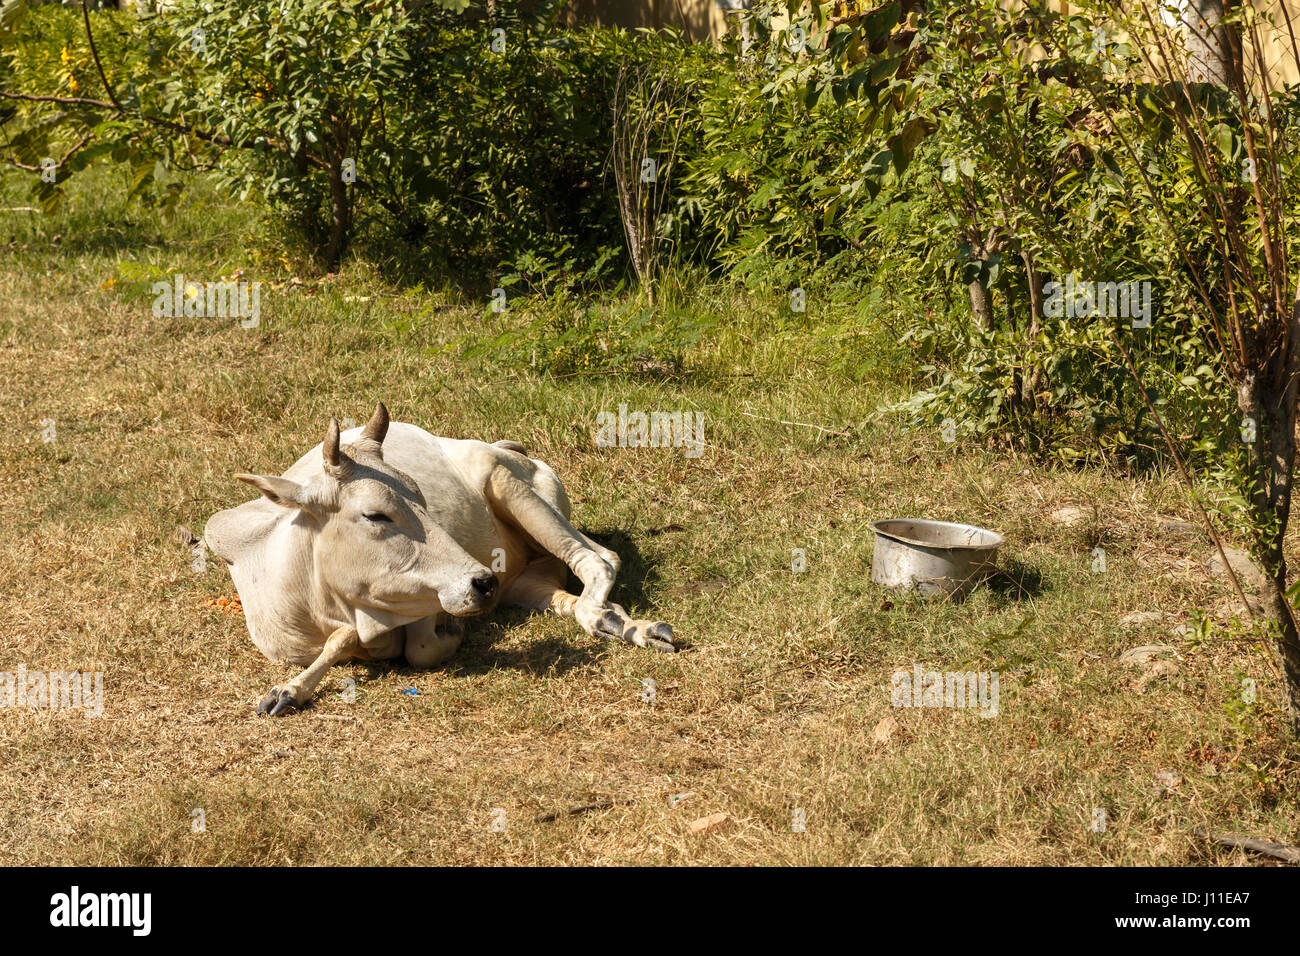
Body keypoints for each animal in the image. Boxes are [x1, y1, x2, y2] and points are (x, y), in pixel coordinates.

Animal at [202, 403, 675, 716]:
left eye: (422, 497)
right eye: (375, 514)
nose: (482, 583)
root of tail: (510, 448)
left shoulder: (424, 598)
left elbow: (420, 648)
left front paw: (450, 631)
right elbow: (340, 644)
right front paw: (289, 690)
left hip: (505, 482)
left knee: (601, 559)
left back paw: (615, 620)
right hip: (523, 583)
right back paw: (623, 623)